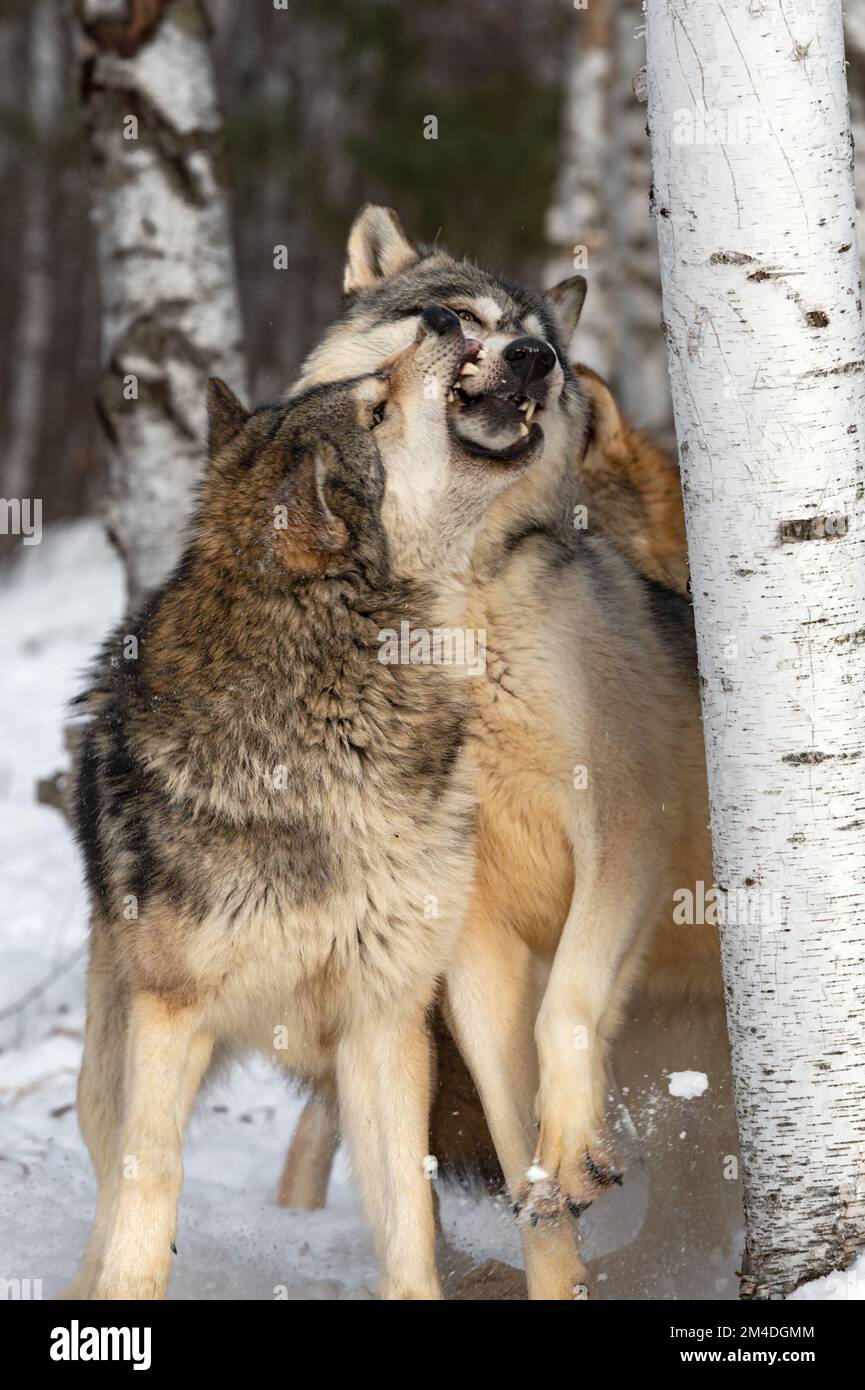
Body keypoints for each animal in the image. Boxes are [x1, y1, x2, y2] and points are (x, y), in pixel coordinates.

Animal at [64, 306, 539, 1302]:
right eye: (376, 404)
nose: (445, 316)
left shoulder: (383, 1017)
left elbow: (406, 1217)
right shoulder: (170, 1016)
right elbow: (148, 1186)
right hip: (111, 1053)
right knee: (108, 1180)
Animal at [279, 207, 721, 1299]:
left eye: (542, 345)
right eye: (451, 319)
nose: (532, 360)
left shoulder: (625, 831)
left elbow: (565, 1007)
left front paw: (572, 1150)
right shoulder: (471, 927)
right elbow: (516, 1133)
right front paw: (550, 1213)